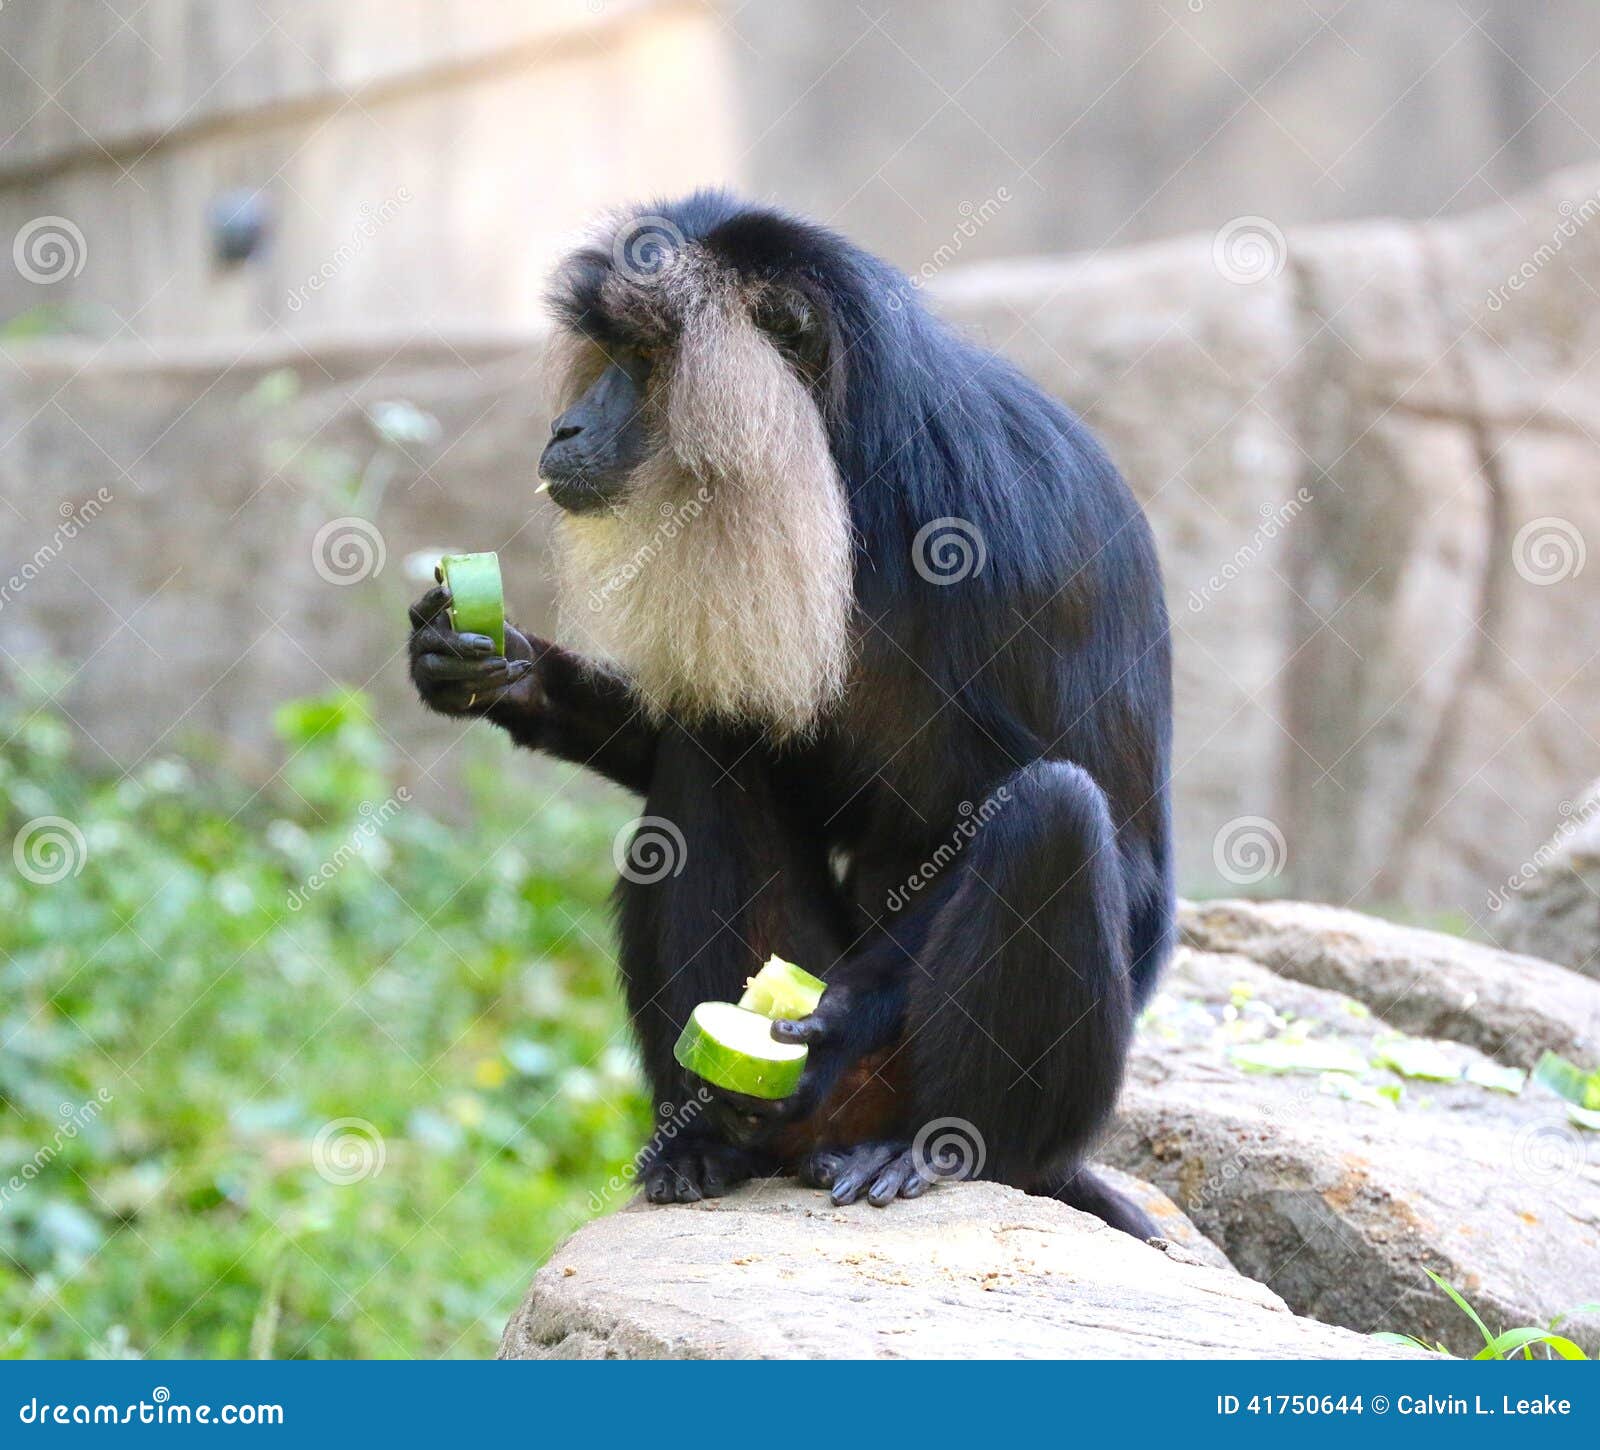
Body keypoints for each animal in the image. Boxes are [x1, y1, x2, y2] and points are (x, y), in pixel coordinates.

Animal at [408, 191, 1173, 1236]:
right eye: (606, 356)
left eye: (641, 363)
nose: (566, 429)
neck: (860, 484)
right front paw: (501, 671)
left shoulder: (1026, 542)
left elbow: (1127, 862)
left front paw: (832, 1027)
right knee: (712, 744)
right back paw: (709, 1142)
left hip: (929, 1096)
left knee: (1055, 813)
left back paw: (931, 1147)